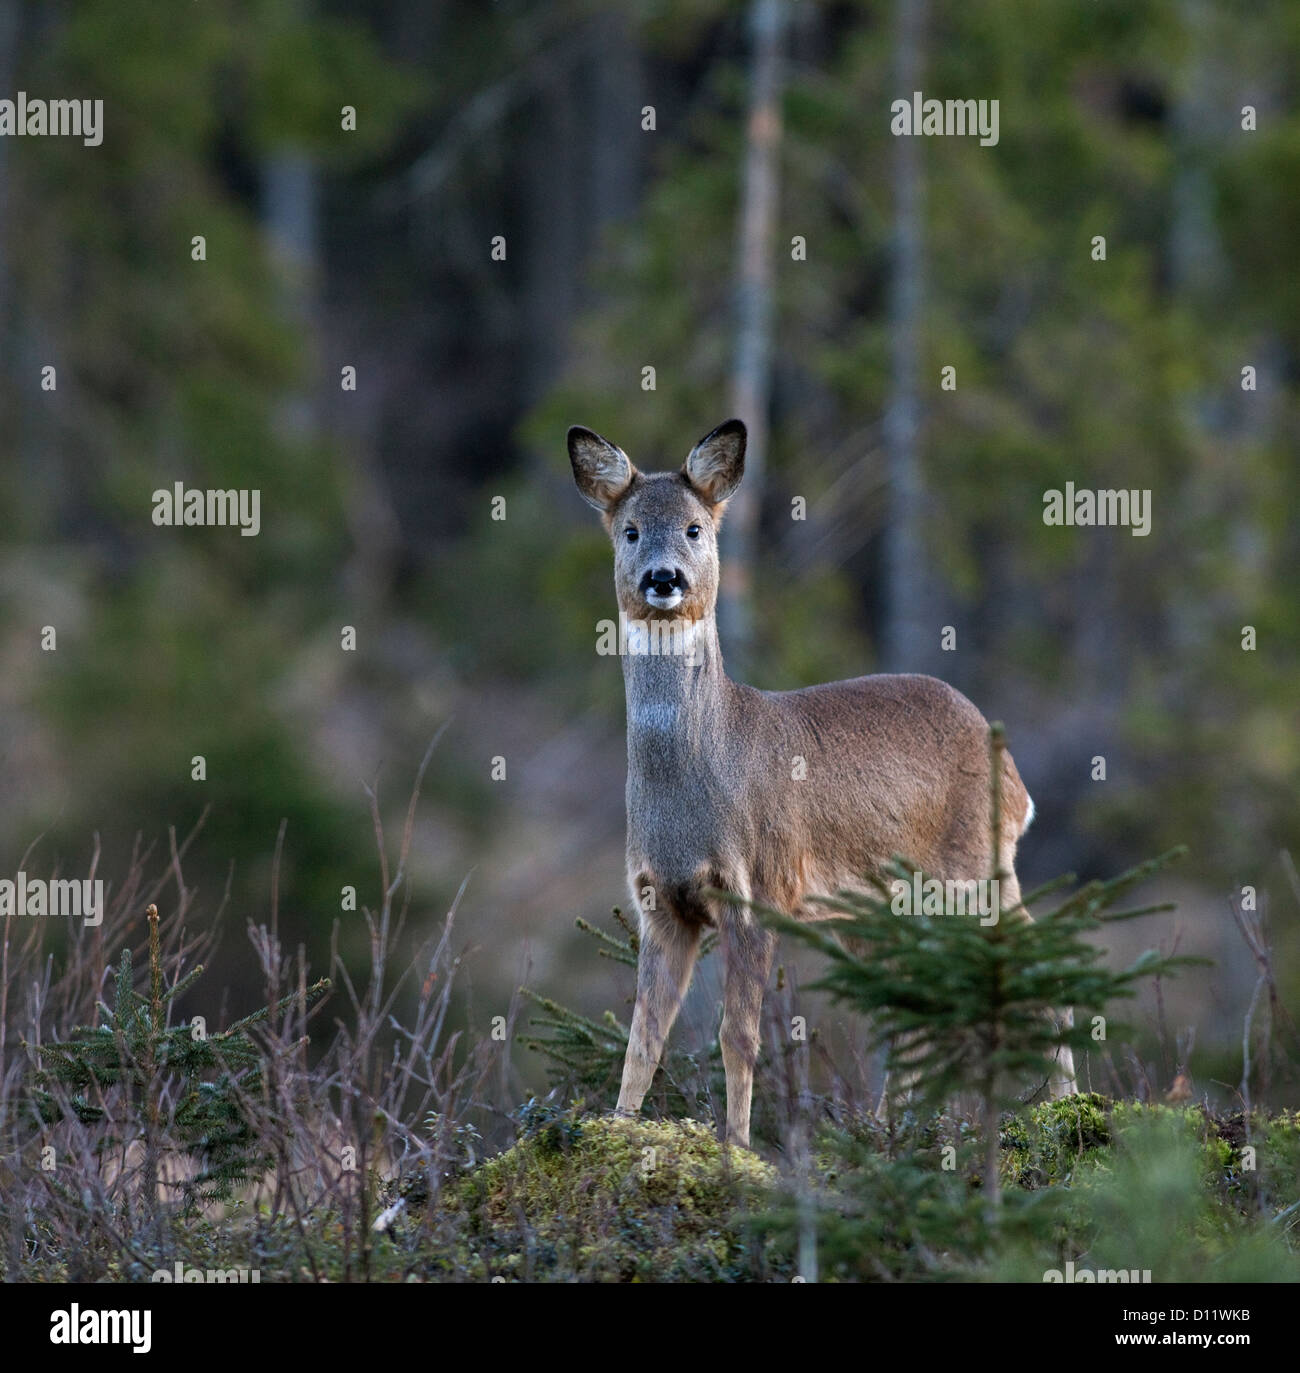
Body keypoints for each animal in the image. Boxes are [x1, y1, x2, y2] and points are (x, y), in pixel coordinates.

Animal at [568, 417, 1077, 1148]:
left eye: (695, 527)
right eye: (631, 530)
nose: (664, 578)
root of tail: (1014, 775)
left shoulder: (758, 884)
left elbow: (738, 1037)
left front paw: (738, 1146)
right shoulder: (659, 900)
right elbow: (644, 1037)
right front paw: (620, 1128)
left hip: (972, 871)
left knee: (1034, 963)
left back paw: (1062, 1112)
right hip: (885, 907)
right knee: (912, 1007)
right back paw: (893, 1129)